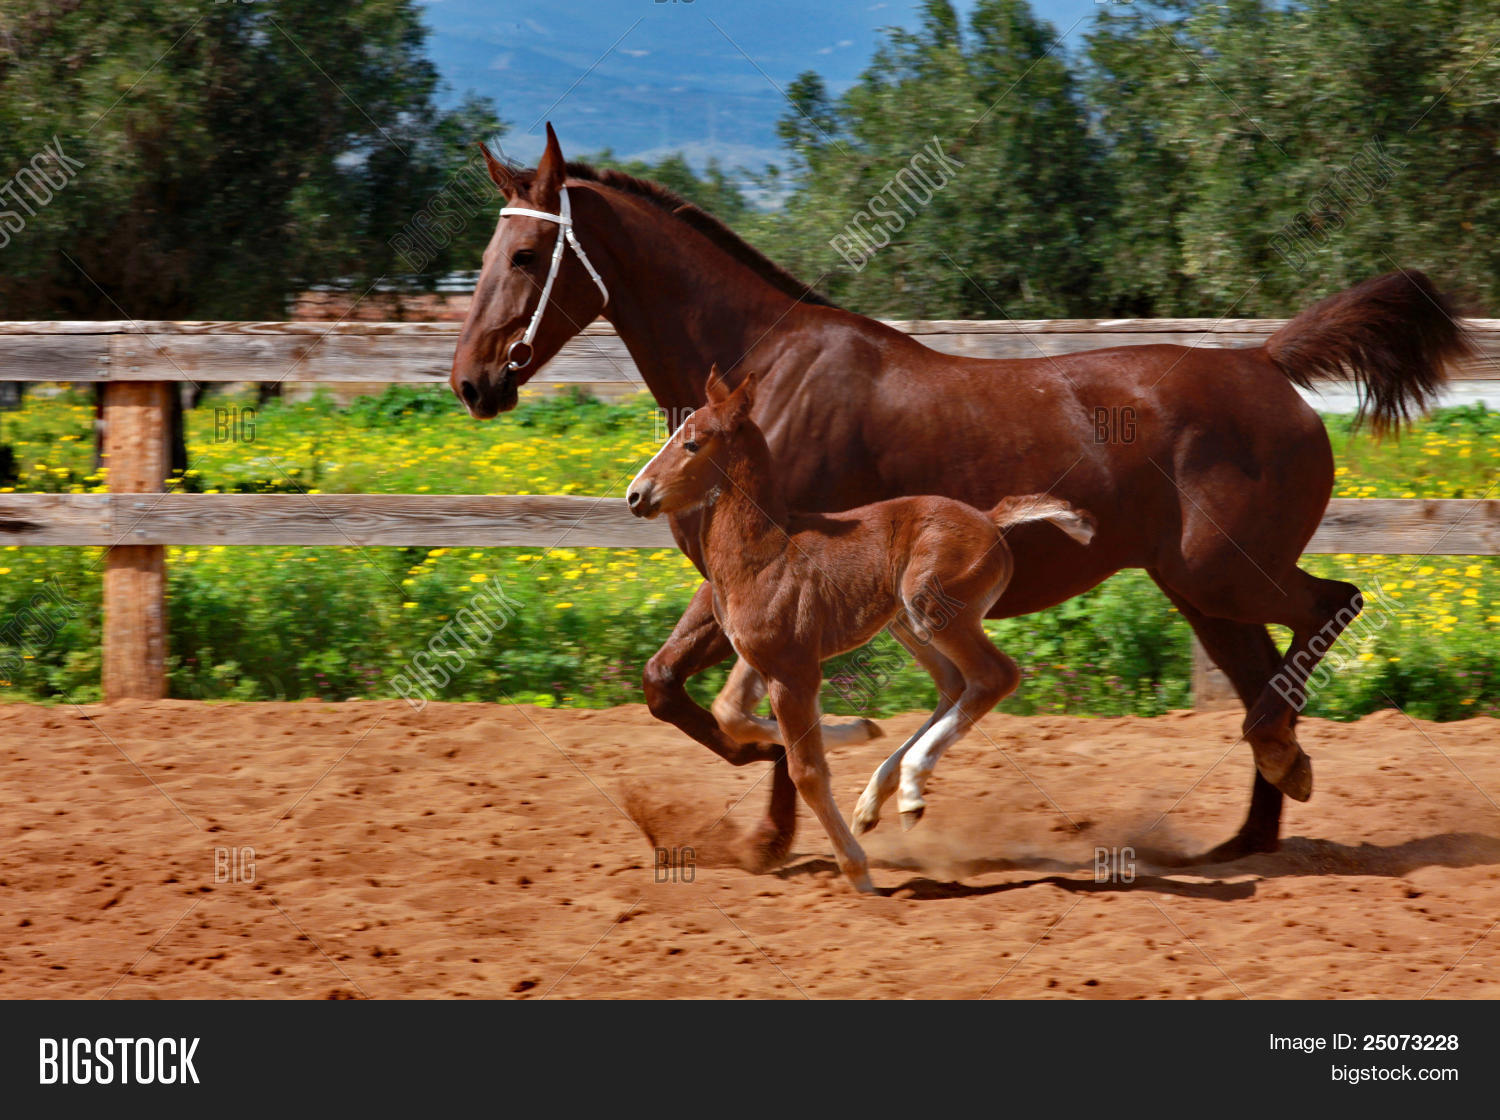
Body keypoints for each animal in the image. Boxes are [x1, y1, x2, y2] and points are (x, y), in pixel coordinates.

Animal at [627, 364, 1097, 892]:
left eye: (692, 443)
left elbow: (807, 769)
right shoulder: (764, 658)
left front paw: (857, 870)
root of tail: (990, 517)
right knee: (956, 685)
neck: (765, 552)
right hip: (908, 625)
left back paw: (909, 790)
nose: (636, 495)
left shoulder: (792, 669)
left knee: (994, 676)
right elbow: (731, 713)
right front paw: (857, 728)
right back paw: (878, 799)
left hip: (934, 609)